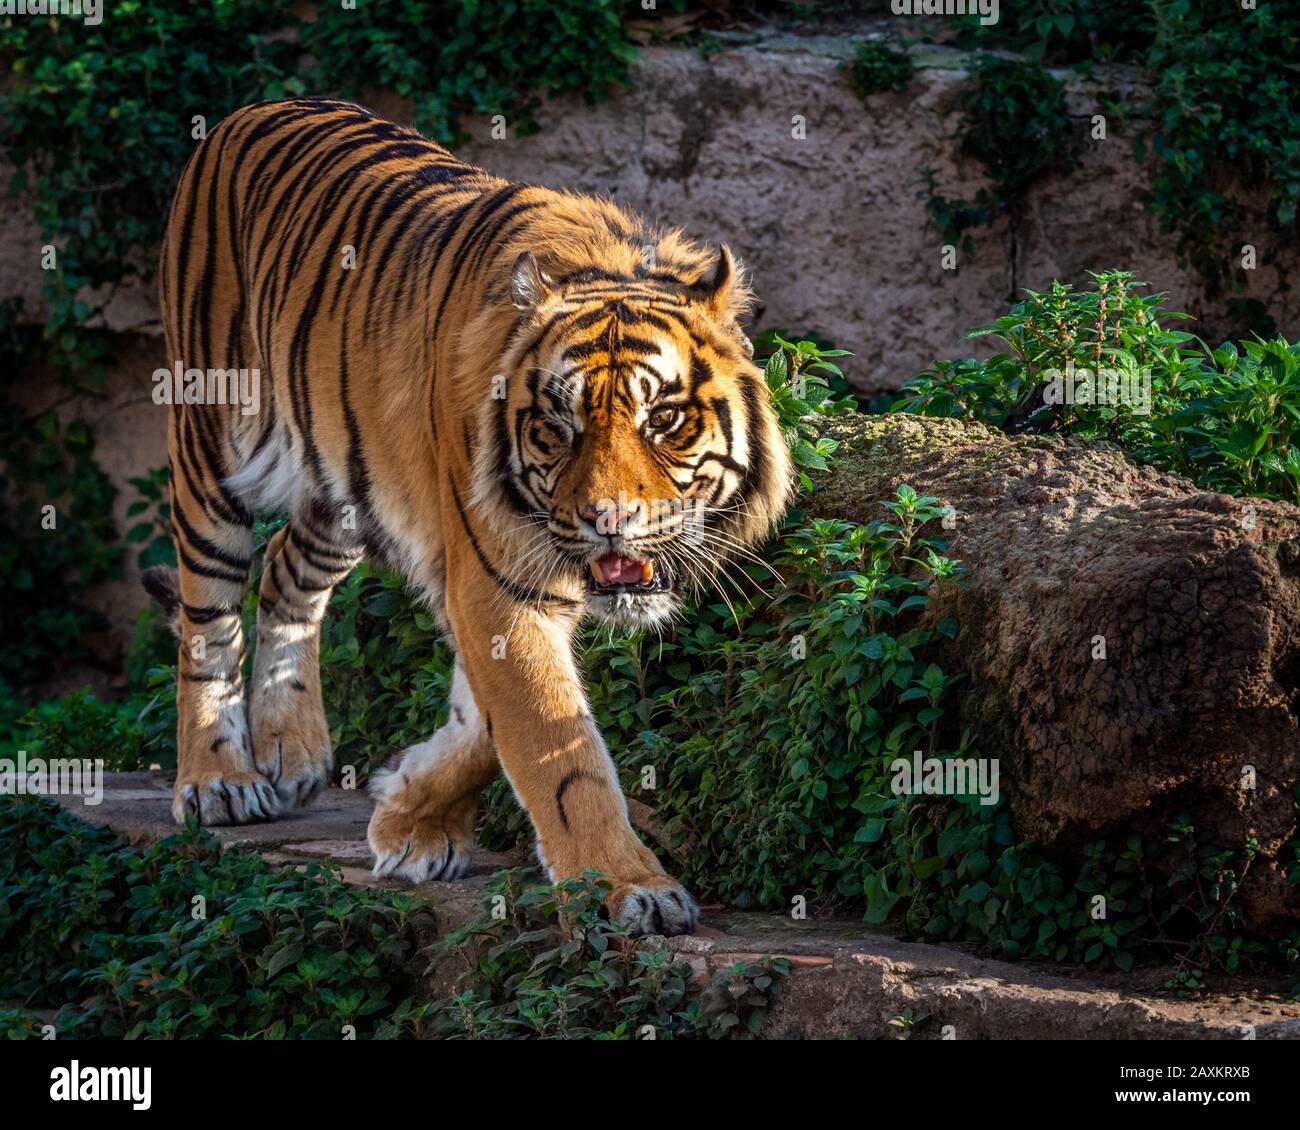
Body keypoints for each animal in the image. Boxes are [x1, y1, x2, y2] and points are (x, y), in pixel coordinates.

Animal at [144, 97, 792, 936]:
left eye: (666, 419)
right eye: (557, 426)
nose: (610, 520)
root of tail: (250, 110)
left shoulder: (492, 586)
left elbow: (489, 723)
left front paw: (408, 818)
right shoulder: (495, 579)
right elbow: (556, 748)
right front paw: (627, 888)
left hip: (342, 485)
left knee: (286, 573)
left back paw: (294, 750)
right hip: (209, 439)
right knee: (207, 618)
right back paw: (219, 781)